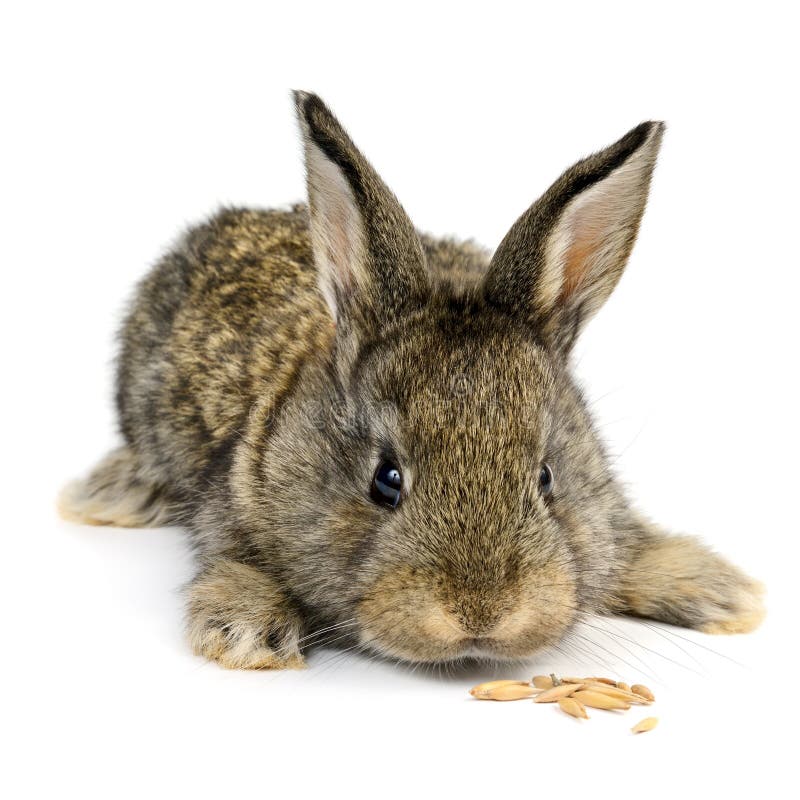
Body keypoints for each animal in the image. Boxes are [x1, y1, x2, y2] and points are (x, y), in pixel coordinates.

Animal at [59, 91, 765, 669]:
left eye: (546, 479)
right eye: (386, 480)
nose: (481, 614)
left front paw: (723, 593)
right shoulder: (229, 505)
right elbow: (232, 560)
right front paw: (246, 635)